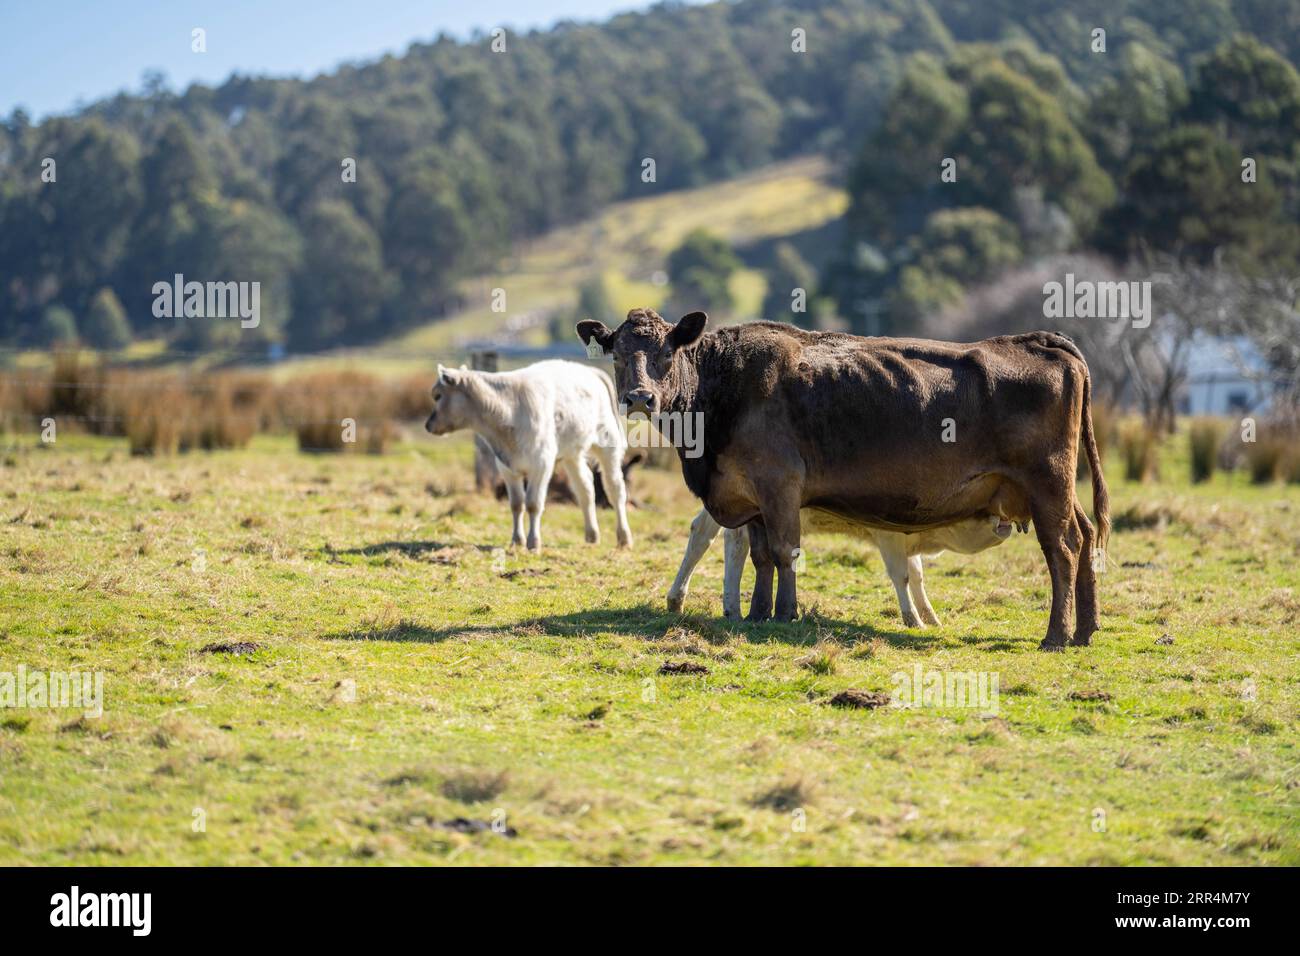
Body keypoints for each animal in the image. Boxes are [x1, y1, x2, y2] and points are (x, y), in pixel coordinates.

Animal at [424, 360, 632, 552]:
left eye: (438, 396)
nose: (428, 425)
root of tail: (589, 371)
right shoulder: (507, 469)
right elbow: (517, 504)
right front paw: (517, 540)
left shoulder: (541, 466)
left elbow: (533, 504)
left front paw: (533, 543)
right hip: (571, 454)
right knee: (585, 488)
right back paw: (592, 535)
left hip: (608, 445)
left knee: (615, 490)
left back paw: (624, 538)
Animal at [667, 507, 1024, 625]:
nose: (1007, 522)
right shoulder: (890, 538)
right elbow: (901, 577)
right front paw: (913, 620)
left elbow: (918, 577)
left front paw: (931, 617)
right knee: (729, 541)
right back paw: (728, 608)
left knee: (704, 532)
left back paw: (680, 600)